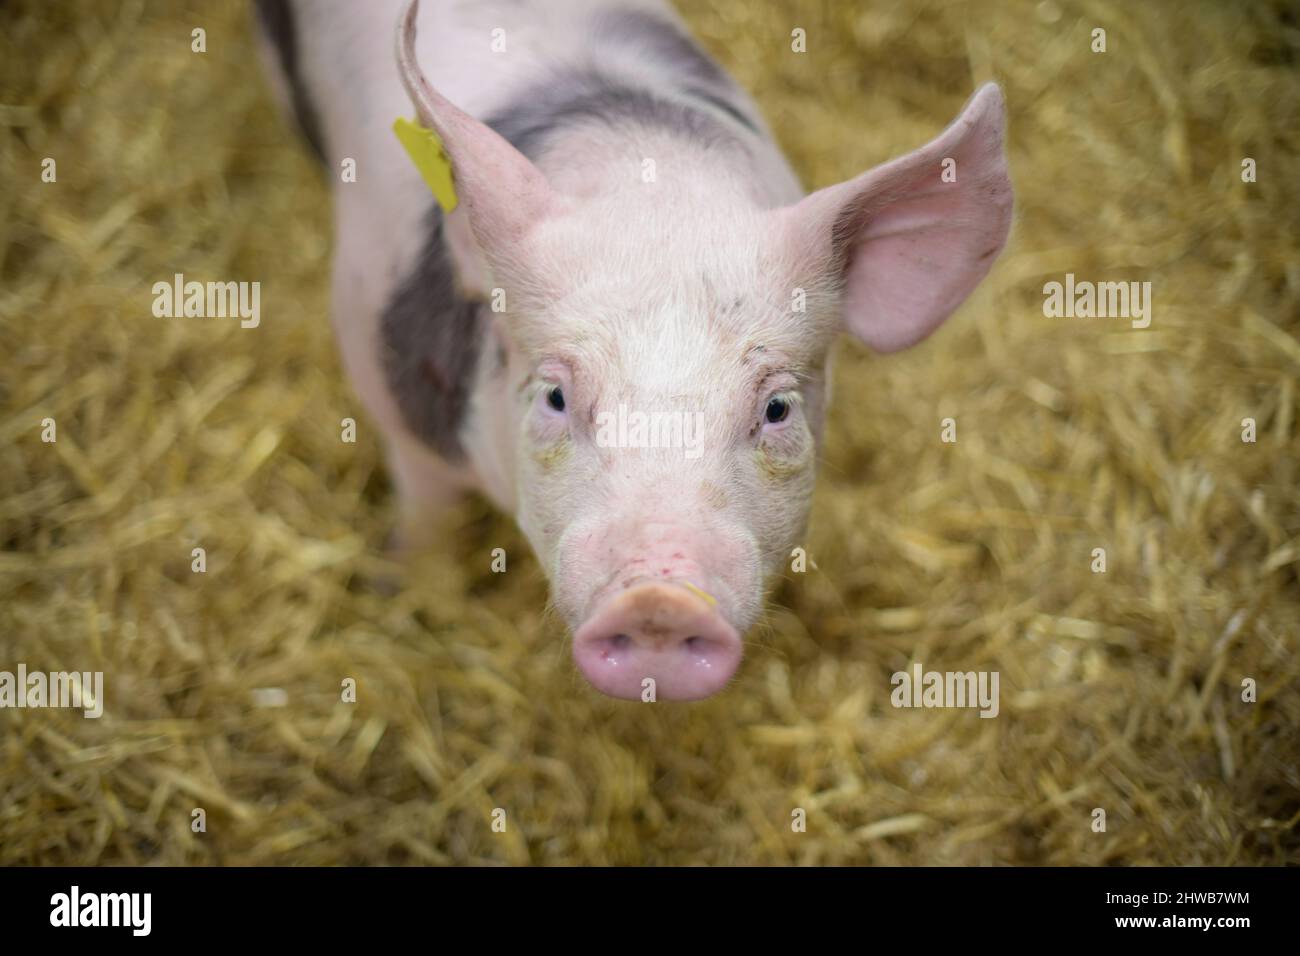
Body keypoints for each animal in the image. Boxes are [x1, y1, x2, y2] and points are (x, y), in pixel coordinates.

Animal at [254, 0, 1013, 700]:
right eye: (556, 396)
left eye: (777, 409)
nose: (659, 603)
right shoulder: (384, 380)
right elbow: (427, 515)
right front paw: (409, 593)